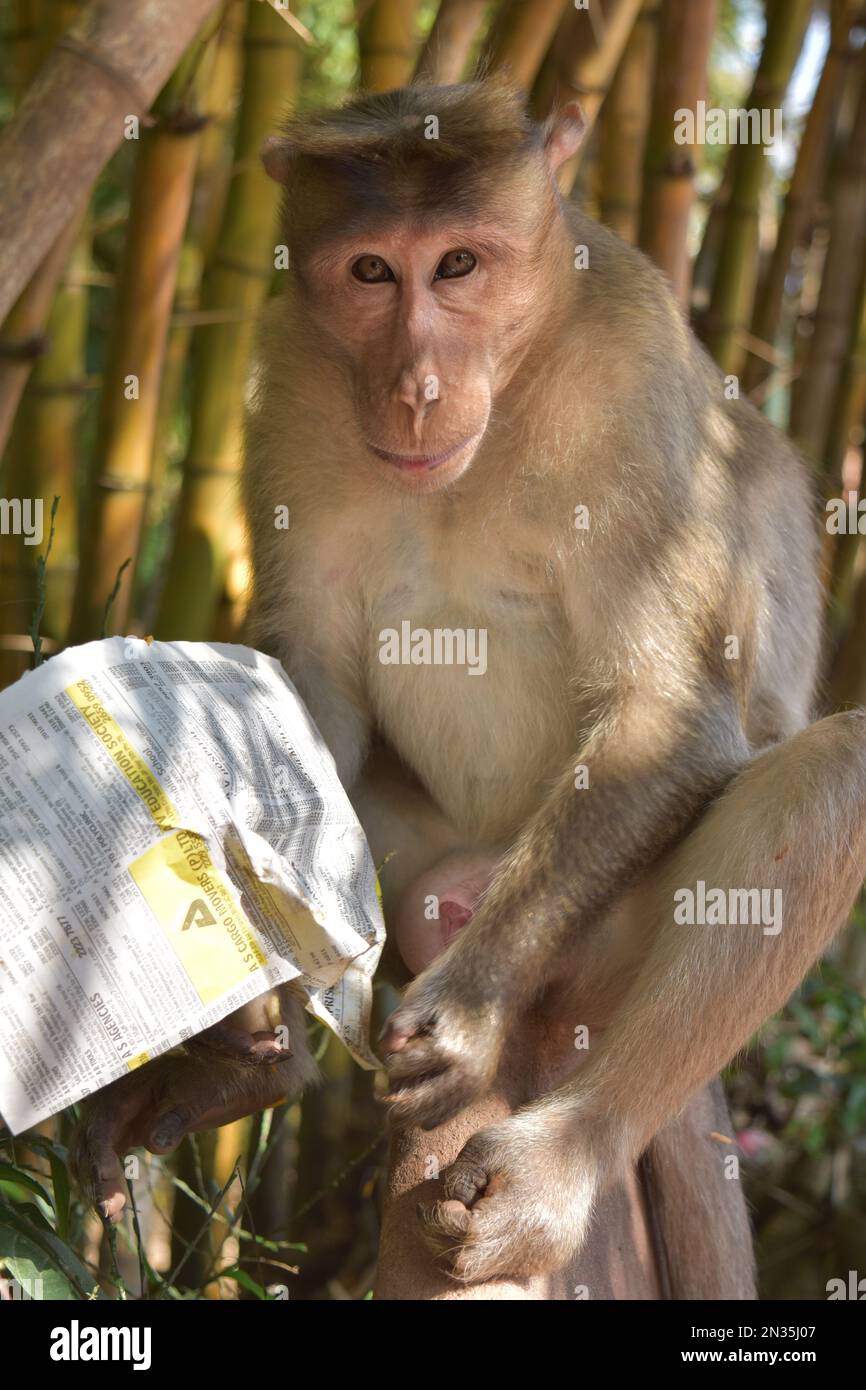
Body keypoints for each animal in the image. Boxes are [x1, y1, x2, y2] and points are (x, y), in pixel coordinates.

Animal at [71, 80, 866, 1298]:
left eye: (455, 265)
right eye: (369, 272)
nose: (415, 388)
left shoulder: (632, 370)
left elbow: (671, 711)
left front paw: (469, 1011)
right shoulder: (290, 371)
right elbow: (308, 686)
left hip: (589, 954)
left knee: (827, 774)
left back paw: (562, 1158)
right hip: (411, 887)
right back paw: (260, 1062)